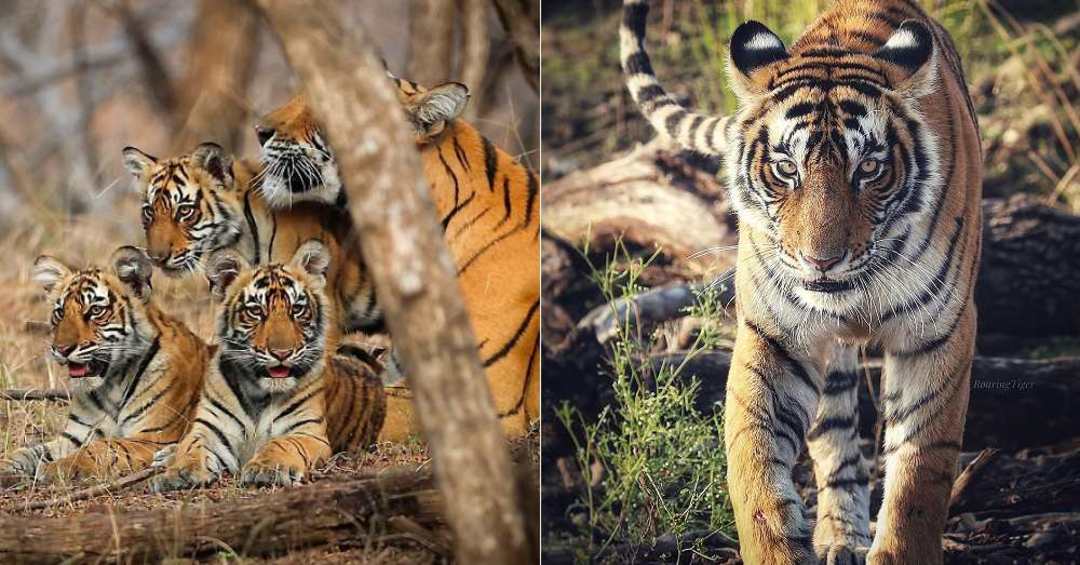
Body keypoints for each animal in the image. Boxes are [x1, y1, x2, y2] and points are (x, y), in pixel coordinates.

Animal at [2, 247, 208, 482]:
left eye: (95, 311)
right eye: (60, 313)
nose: (61, 349)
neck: (112, 385)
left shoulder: (152, 437)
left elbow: (102, 448)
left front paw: (54, 468)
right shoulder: (75, 437)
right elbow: (30, 451)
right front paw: (8, 465)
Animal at [149, 241, 385, 491]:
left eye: (297, 309)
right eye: (255, 311)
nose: (282, 353)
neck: (259, 395)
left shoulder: (308, 432)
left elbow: (283, 443)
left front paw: (268, 468)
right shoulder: (209, 429)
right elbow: (191, 447)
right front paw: (178, 473)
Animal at [622, 1, 982, 563]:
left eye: (869, 168)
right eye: (786, 168)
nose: (821, 261)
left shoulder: (938, 334)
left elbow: (919, 474)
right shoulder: (776, 336)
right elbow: (754, 464)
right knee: (833, 436)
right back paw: (839, 536)